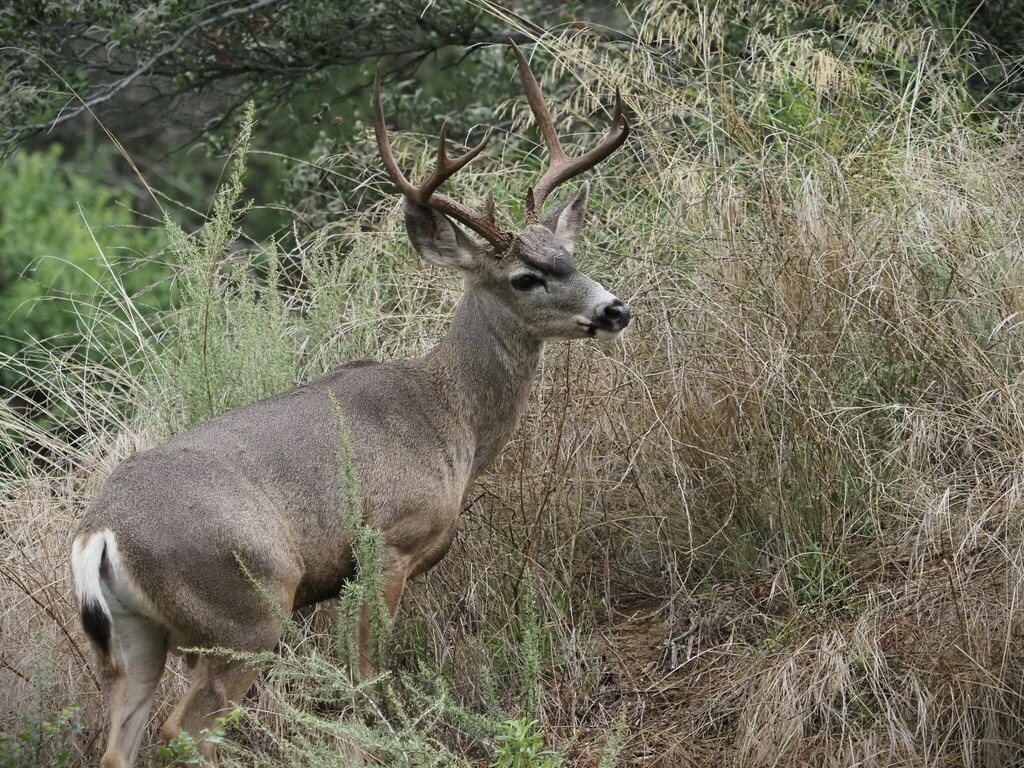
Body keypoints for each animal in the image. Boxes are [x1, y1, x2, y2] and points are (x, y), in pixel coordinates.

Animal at [70, 42, 630, 768]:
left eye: (570, 254)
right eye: (524, 277)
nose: (614, 309)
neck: (447, 415)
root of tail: (98, 535)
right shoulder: (388, 544)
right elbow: (369, 676)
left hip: (135, 639)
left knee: (122, 742)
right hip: (249, 611)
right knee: (184, 730)